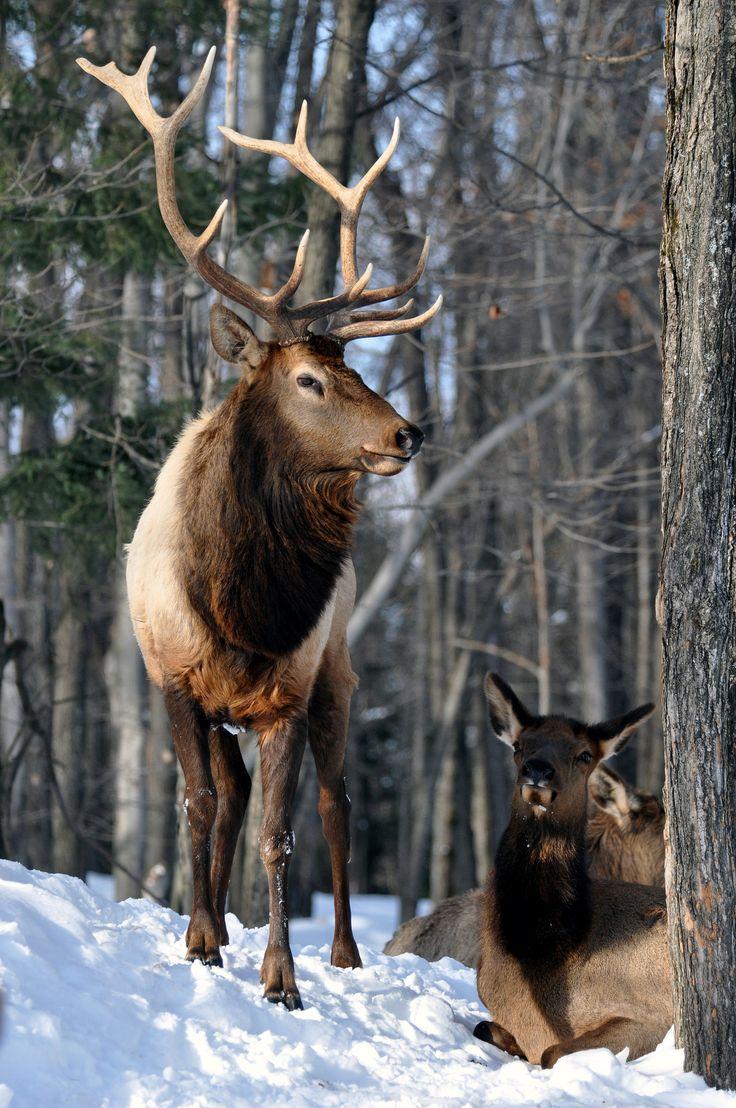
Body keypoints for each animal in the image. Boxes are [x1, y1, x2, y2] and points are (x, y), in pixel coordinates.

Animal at [77, 45, 442, 1011]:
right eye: (310, 380)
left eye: (355, 367)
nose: (408, 433)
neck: (243, 603)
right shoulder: (173, 674)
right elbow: (200, 804)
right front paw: (202, 939)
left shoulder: (286, 687)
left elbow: (284, 832)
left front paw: (283, 977)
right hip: (220, 701)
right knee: (227, 793)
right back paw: (211, 926)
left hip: (339, 670)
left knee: (336, 805)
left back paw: (344, 952)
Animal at [471, 673, 671, 1066]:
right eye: (518, 745)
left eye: (584, 755)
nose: (537, 770)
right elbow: (482, 1026)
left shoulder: (655, 1016)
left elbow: (552, 1053)